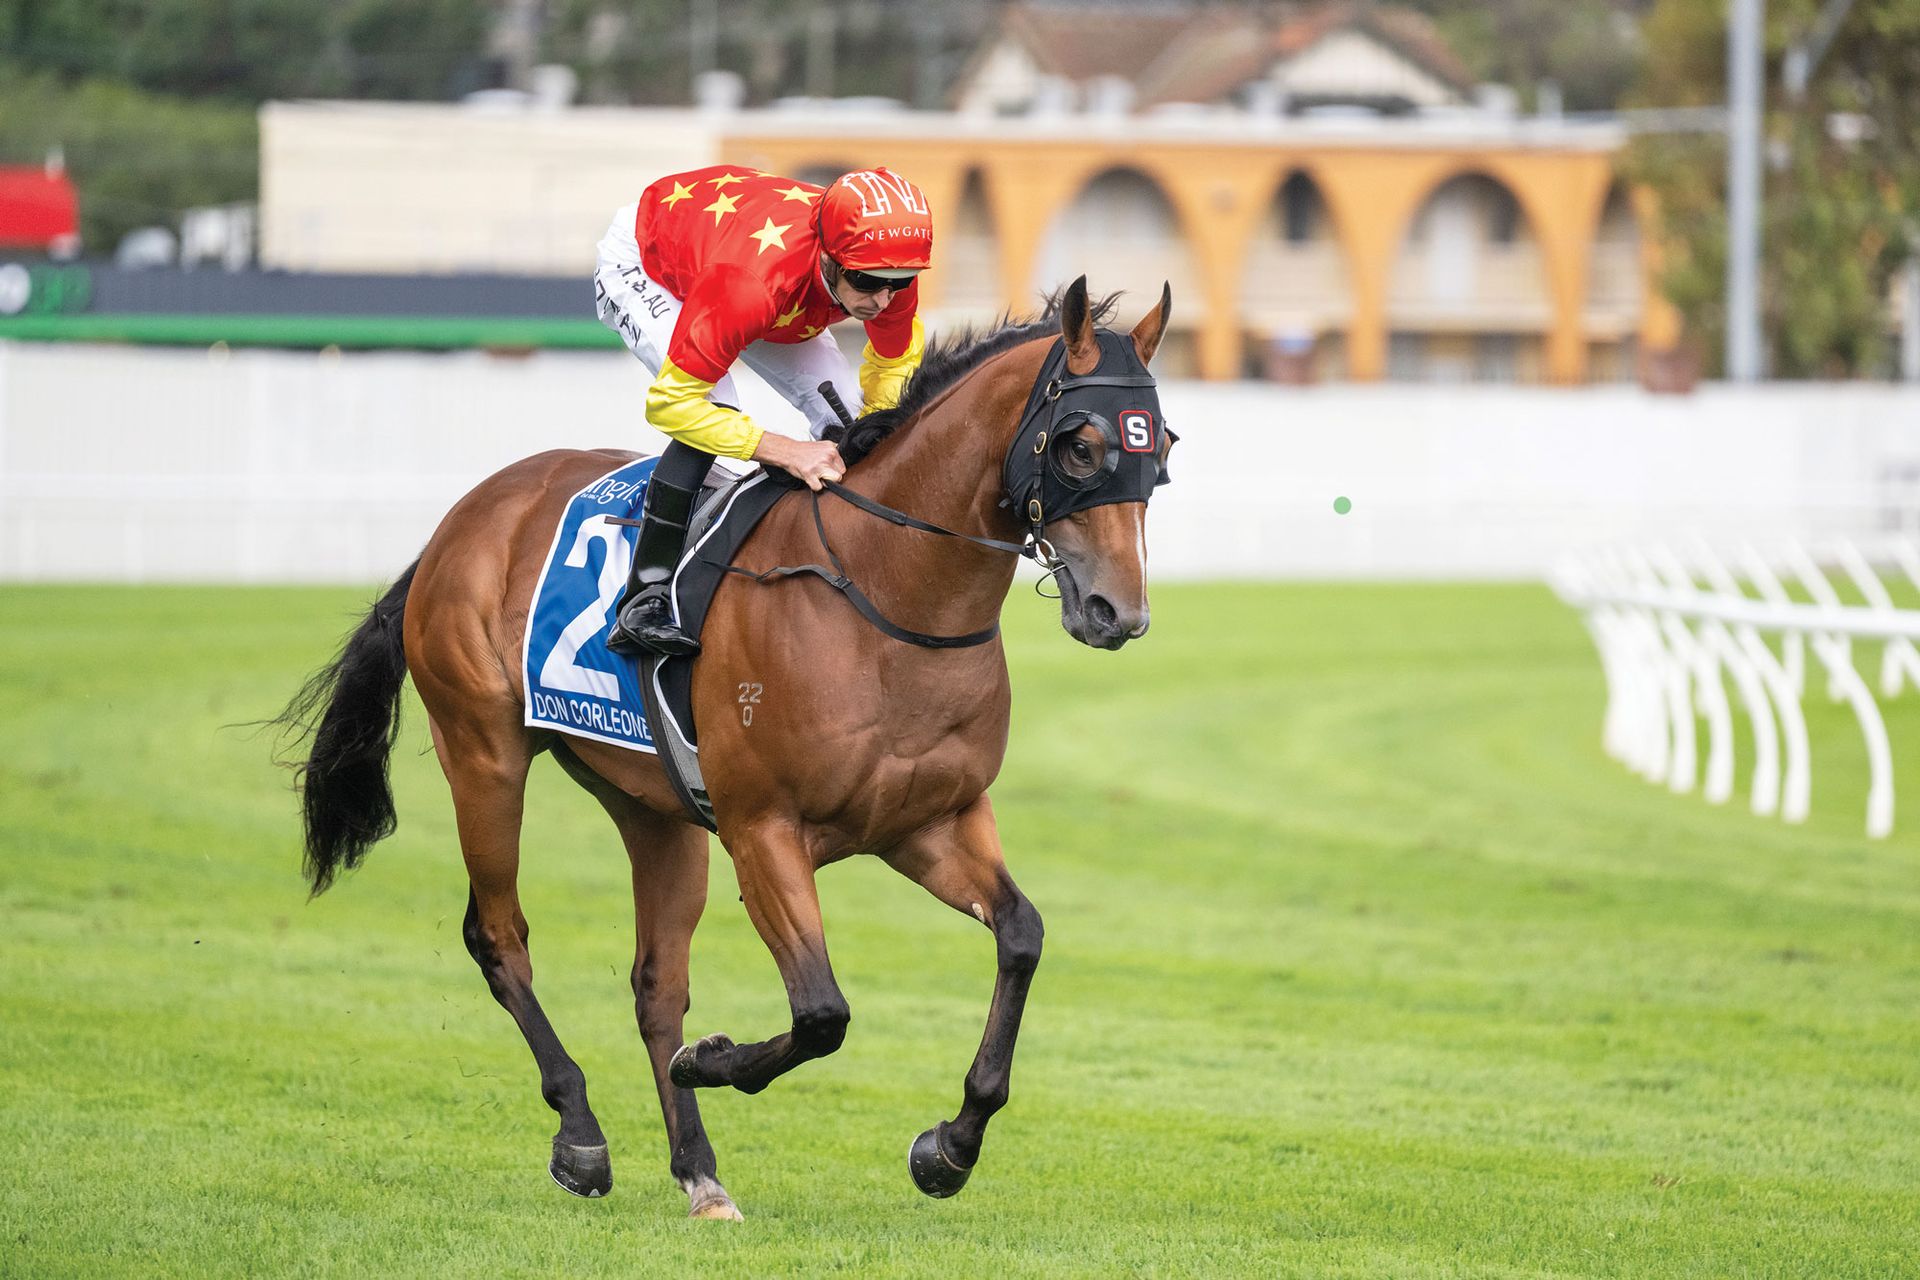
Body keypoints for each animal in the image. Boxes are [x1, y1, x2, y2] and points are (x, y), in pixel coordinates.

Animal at [277, 276, 1175, 1221]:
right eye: (1081, 446)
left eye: (1162, 447)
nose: (1119, 612)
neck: (884, 595)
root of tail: (463, 518)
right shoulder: (762, 829)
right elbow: (822, 1012)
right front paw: (712, 1060)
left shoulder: (929, 823)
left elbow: (1022, 936)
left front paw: (949, 1147)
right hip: (483, 755)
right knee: (499, 935)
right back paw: (581, 1134)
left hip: (652, 809)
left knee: (656, 982)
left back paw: (698, 1171)